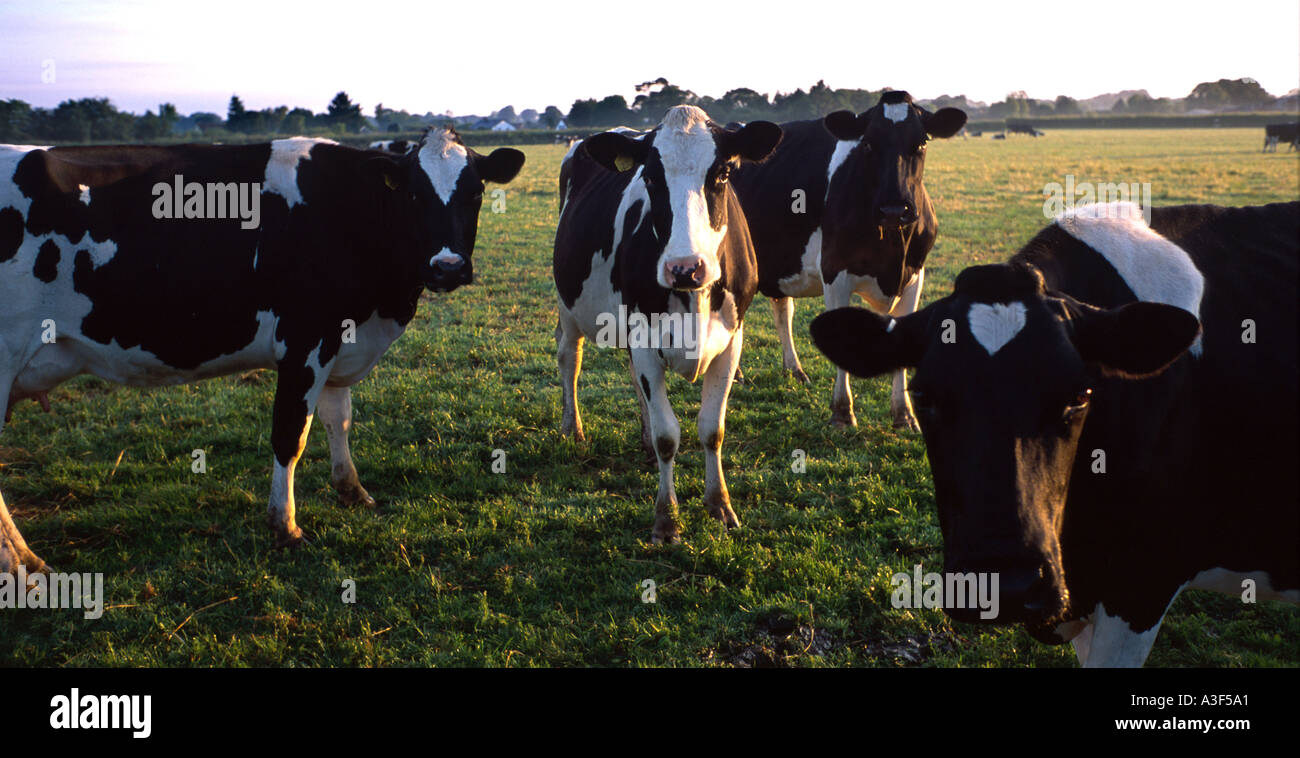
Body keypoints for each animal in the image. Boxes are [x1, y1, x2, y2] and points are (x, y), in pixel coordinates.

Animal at [0, 128, 525, 573]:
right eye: (414, 195)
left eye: (476, 193)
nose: (448, 267)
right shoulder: (304, 339)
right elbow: (290, 435)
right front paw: (285, 527)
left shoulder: (339, 340)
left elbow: (338, 420)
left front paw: (352, 492)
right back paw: (23, 564)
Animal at [553, 105, 781, 543]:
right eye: (651, 177)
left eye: (722, 173)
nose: (685, 268)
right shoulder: (644, 337)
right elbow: (667, 435)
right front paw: (667, 519)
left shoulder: (733, 341)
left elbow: (712, 429)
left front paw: (720, 505)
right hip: (568, 306)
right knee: (569, 360)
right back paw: (574, 430)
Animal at [729, 90, 966, 428]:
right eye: (868, 144)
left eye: (921, 143)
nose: (894, 209)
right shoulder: (834, 271)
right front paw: (842, 412)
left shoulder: (914, 275)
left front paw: (904, 414)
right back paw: (736, 374)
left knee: (781, 310)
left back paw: (794, 370)